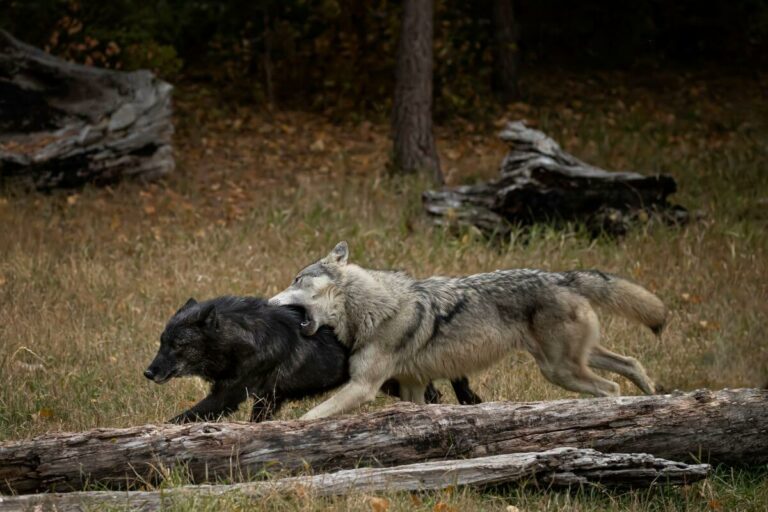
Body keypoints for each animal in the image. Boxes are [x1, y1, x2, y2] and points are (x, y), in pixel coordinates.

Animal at [144, 296, 481, 423]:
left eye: (178, 345)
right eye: (161, 342)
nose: (148, 373)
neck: (244, 338)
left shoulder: (227, 397)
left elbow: (178, 420)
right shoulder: (268, 400)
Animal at [270, 241, 667, 420]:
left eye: (297, 280)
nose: (269, 301)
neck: (374, 308)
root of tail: (561, 277)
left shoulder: (363, 388)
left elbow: (309, 417)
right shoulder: (413, 387)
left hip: (562, 370)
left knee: (611, 387)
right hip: (571, 362)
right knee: (631, 363)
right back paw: (654, 397)